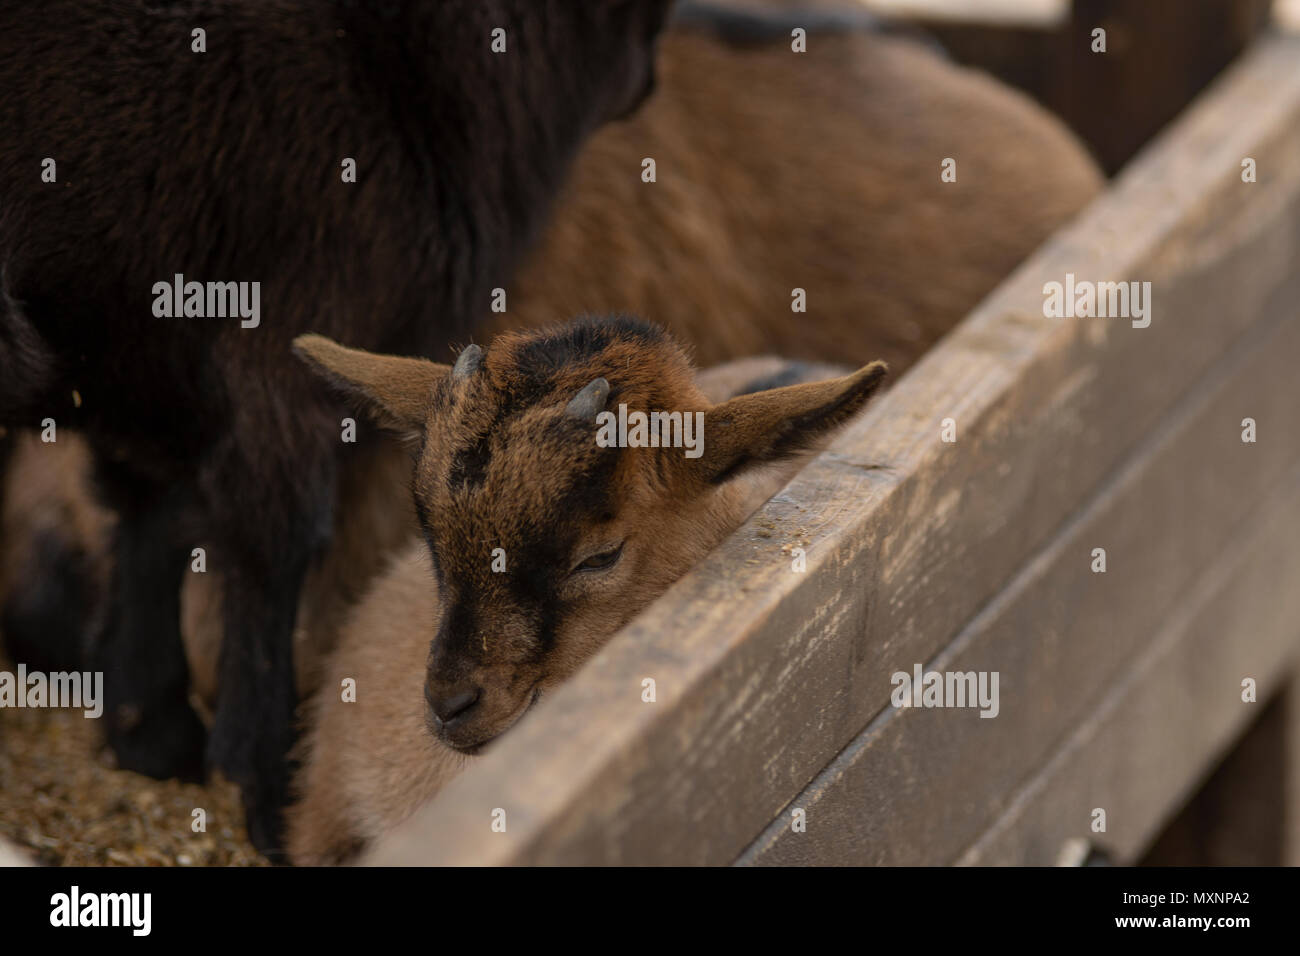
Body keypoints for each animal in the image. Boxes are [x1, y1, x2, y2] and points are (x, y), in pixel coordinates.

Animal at [0, 0, 672, 855]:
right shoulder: (279, 352)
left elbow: (153, 521)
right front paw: (261, 786)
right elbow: (271, 549)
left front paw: (151, 735)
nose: (650, 74)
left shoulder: (149, 372)